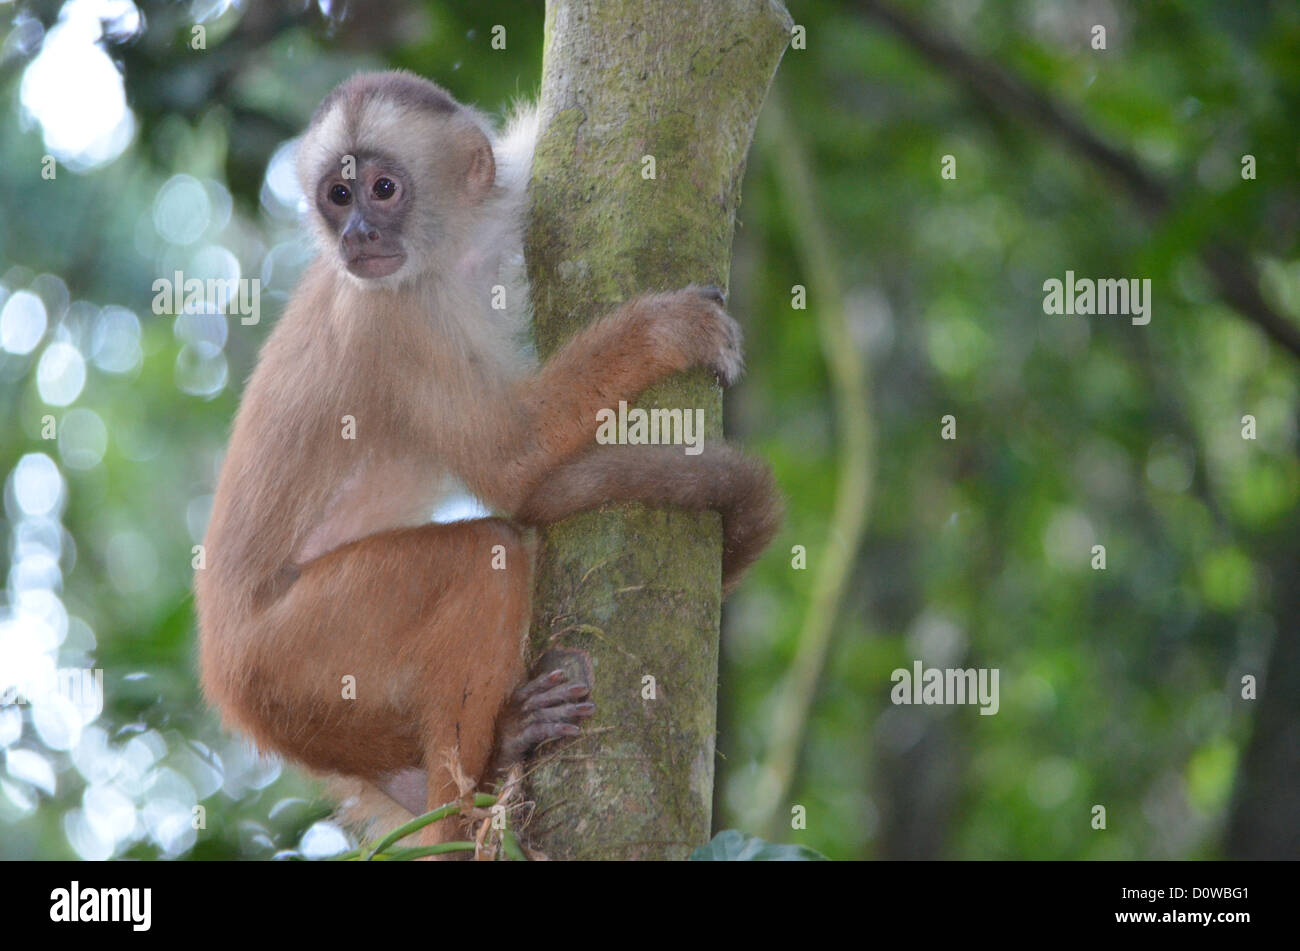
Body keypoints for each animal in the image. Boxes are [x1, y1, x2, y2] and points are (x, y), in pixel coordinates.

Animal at [194, 70, 781, 853]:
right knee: (485, 556)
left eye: (381, 189)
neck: (451, 260)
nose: (356, 235)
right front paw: (667, 331)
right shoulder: (391, 316)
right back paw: (477, 802)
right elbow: (510, 463)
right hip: (281, 661)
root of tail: (223, 681)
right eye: (338, 195)